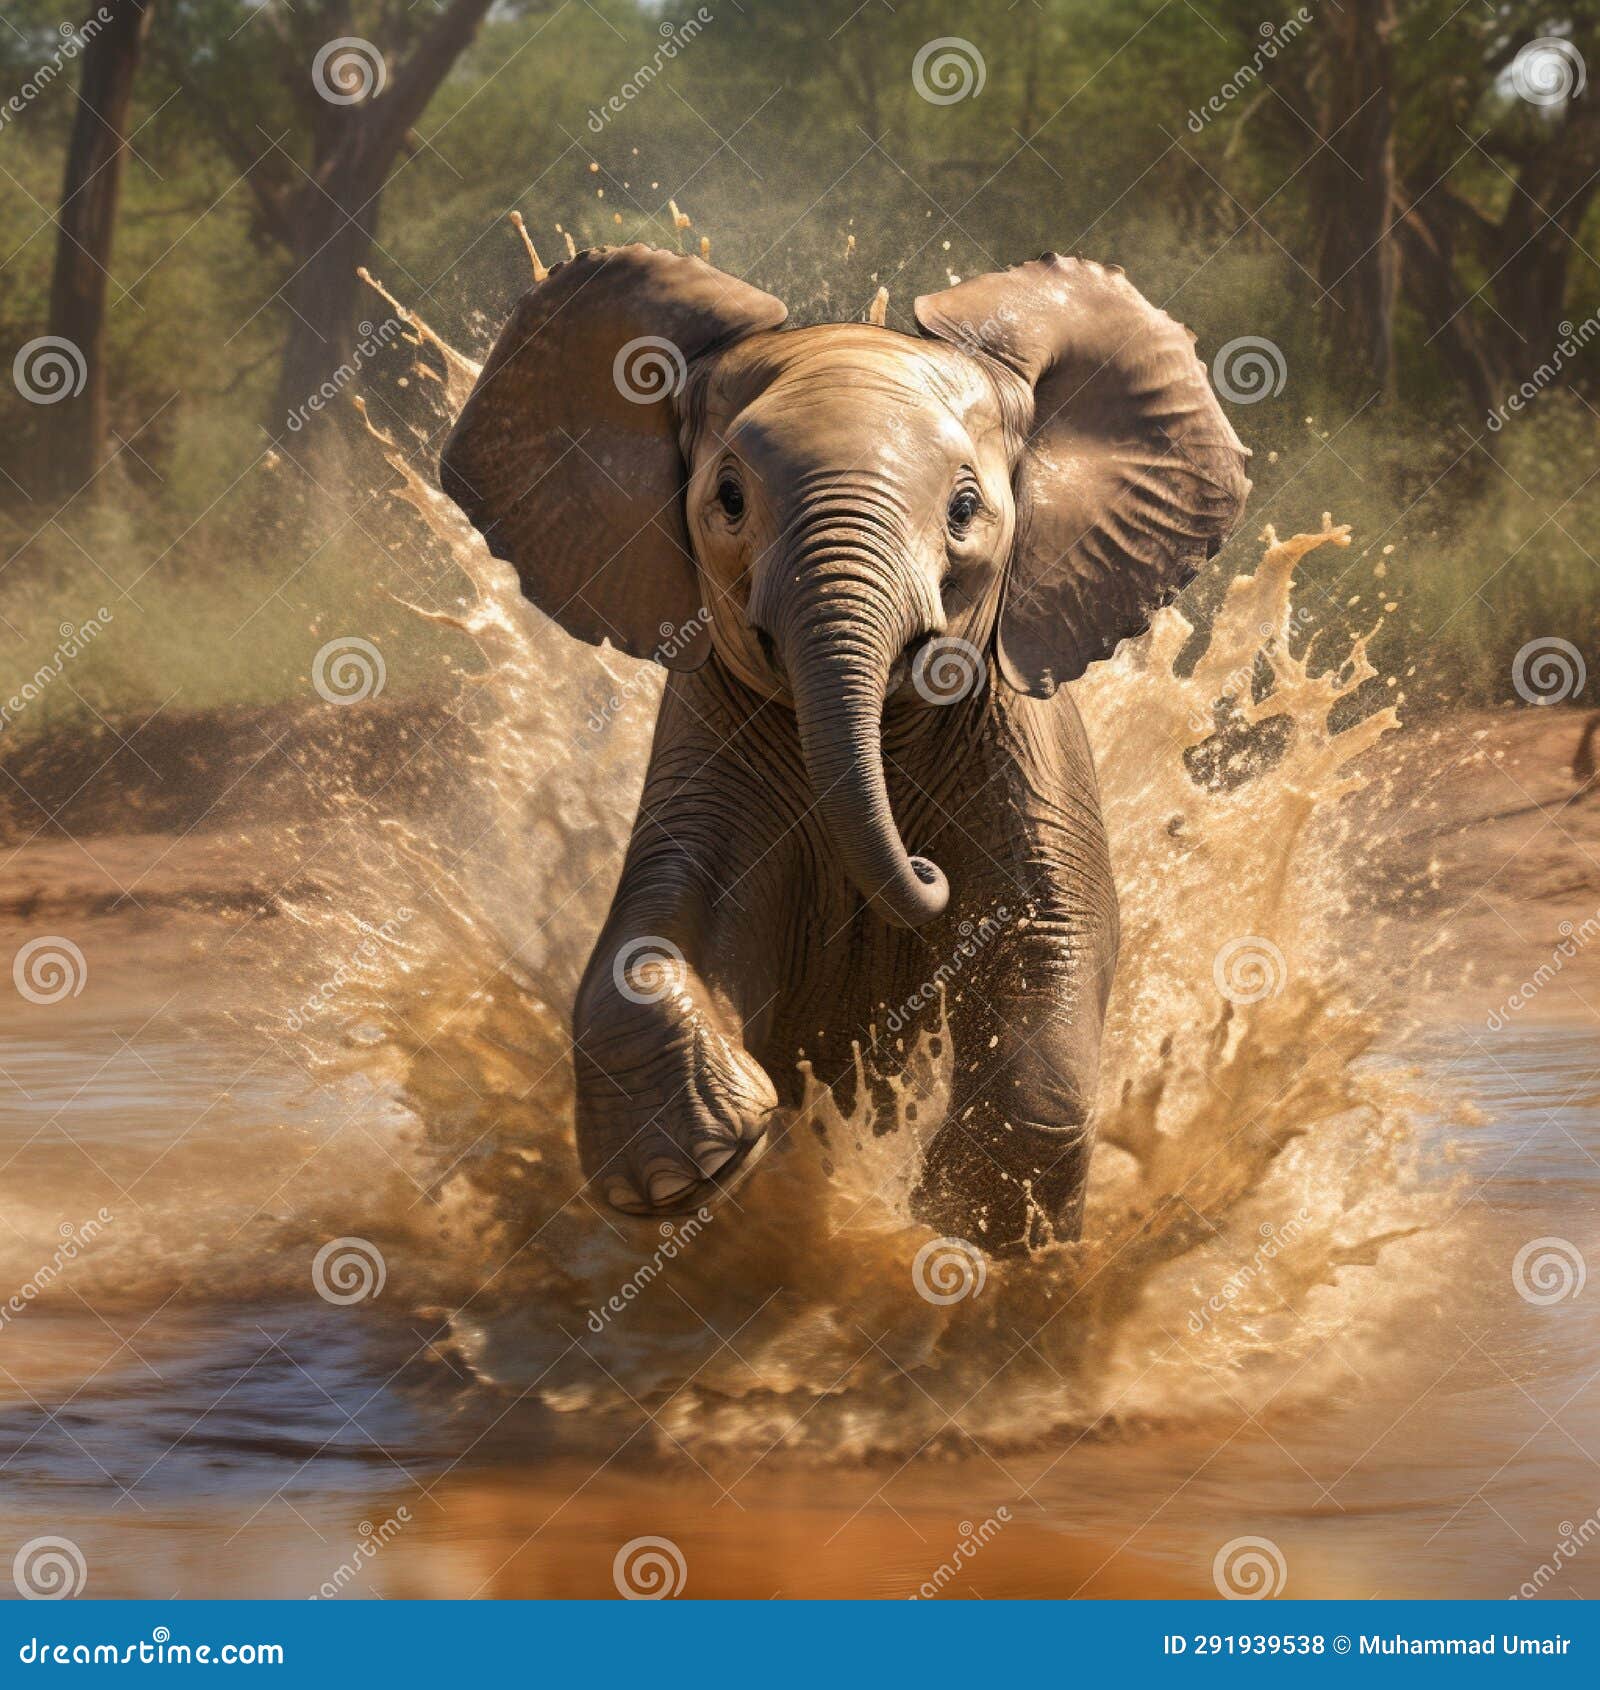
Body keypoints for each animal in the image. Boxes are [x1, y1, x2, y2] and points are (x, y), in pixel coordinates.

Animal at [440, 244, 1249, 1253]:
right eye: (729, 499)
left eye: (966, 508)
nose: (928, 872)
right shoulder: (719, 732)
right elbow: (666, 915)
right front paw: (689, 1168)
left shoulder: (1022, 744)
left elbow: (1050, 929)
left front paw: (975, 1234)